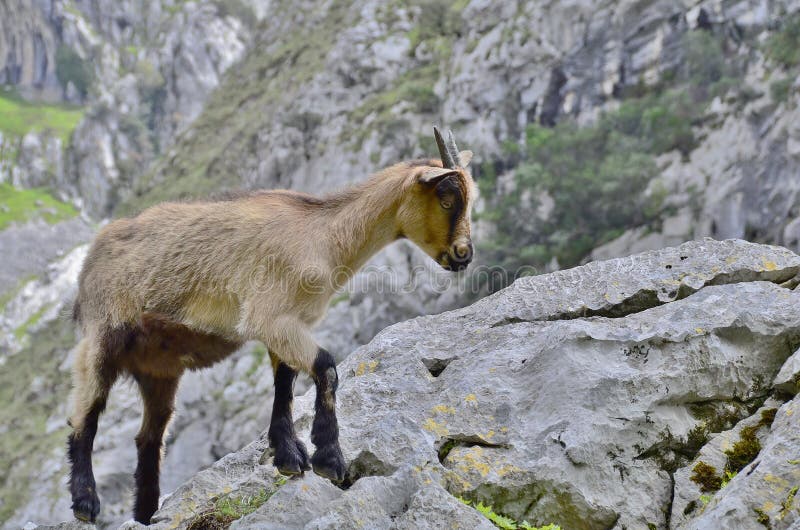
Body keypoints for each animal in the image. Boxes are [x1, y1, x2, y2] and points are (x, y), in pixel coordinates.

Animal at [66, 128, 476, 524]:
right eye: (446, 199)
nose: (464, 255)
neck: (324, 237)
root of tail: (91, 259)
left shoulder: (284, 325)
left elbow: (285, 385)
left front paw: (289, 457)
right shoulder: (272, 317)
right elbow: (326, 368)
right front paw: (328, 459)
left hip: (160, 371)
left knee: (149, 438)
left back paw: (147, 513)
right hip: (101, 336)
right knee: (85, 417)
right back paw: (86, 502)